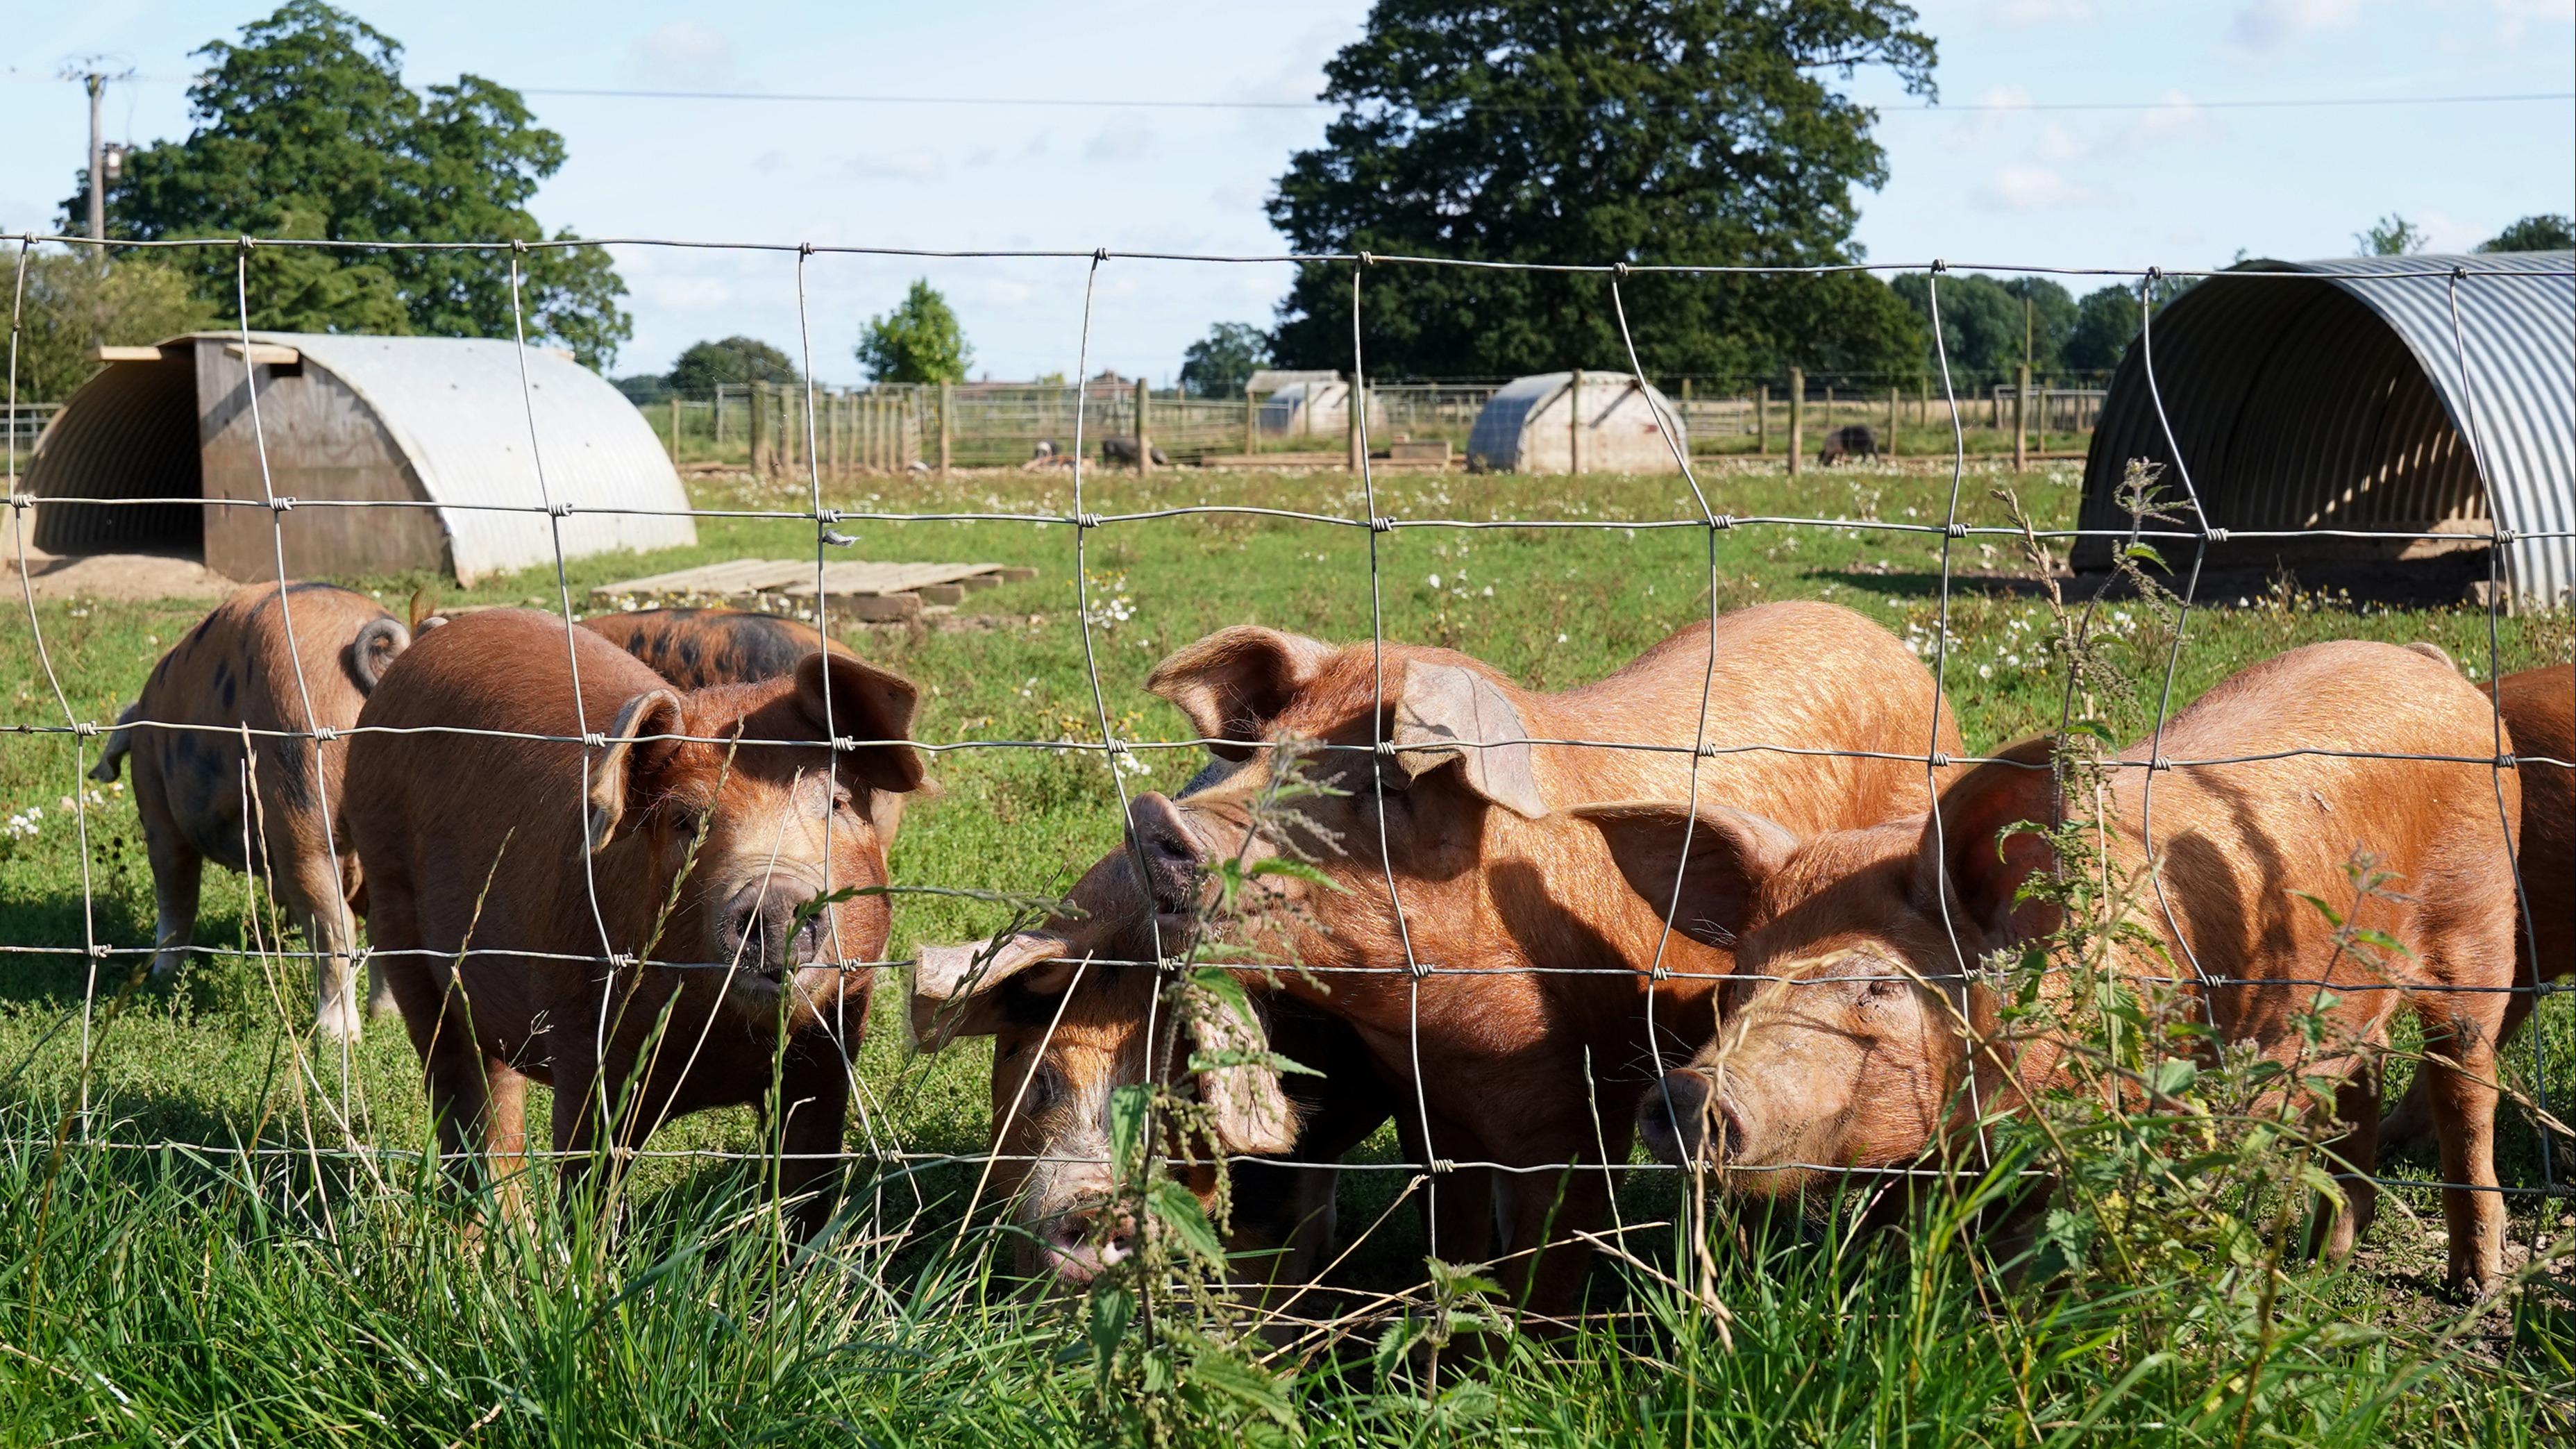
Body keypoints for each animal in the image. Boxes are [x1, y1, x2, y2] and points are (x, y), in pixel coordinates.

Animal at [91, 582, 410, 1041]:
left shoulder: (157, 810)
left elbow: (175, 896)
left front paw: (160, 976)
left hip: (300, 800)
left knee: (336, 929)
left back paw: (333, 1036)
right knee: (385, 927)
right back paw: (387, 1017)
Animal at [343, 608, 924, 1232]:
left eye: (836, 802)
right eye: (685, 820)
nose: (772, 901)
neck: (724, 1044)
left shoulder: (830, 1049)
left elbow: (807, 1190)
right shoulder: (588, 1050)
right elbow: (588, 1188)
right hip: (394, 906)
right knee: (463, 1091)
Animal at [912, 601, 1961, 1309]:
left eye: (1383, 785)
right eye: (1265, 751)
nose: (1159, 819)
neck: (1437, 1021)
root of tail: (1877, 636)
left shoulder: (1585, 1105)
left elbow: (1549, 1253)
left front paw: (1526, 1353)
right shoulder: (1429, 1109)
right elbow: (1440, 1240)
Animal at [1586, 640, 2522, 1293]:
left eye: (1879, 982)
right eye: (1740, 973)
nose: (1687, 1092)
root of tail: (2437, 668)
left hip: (2479, 925)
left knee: (2465, 1089)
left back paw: (2474, 1286)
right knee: (2359, 1077)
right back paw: (2321, 1260)